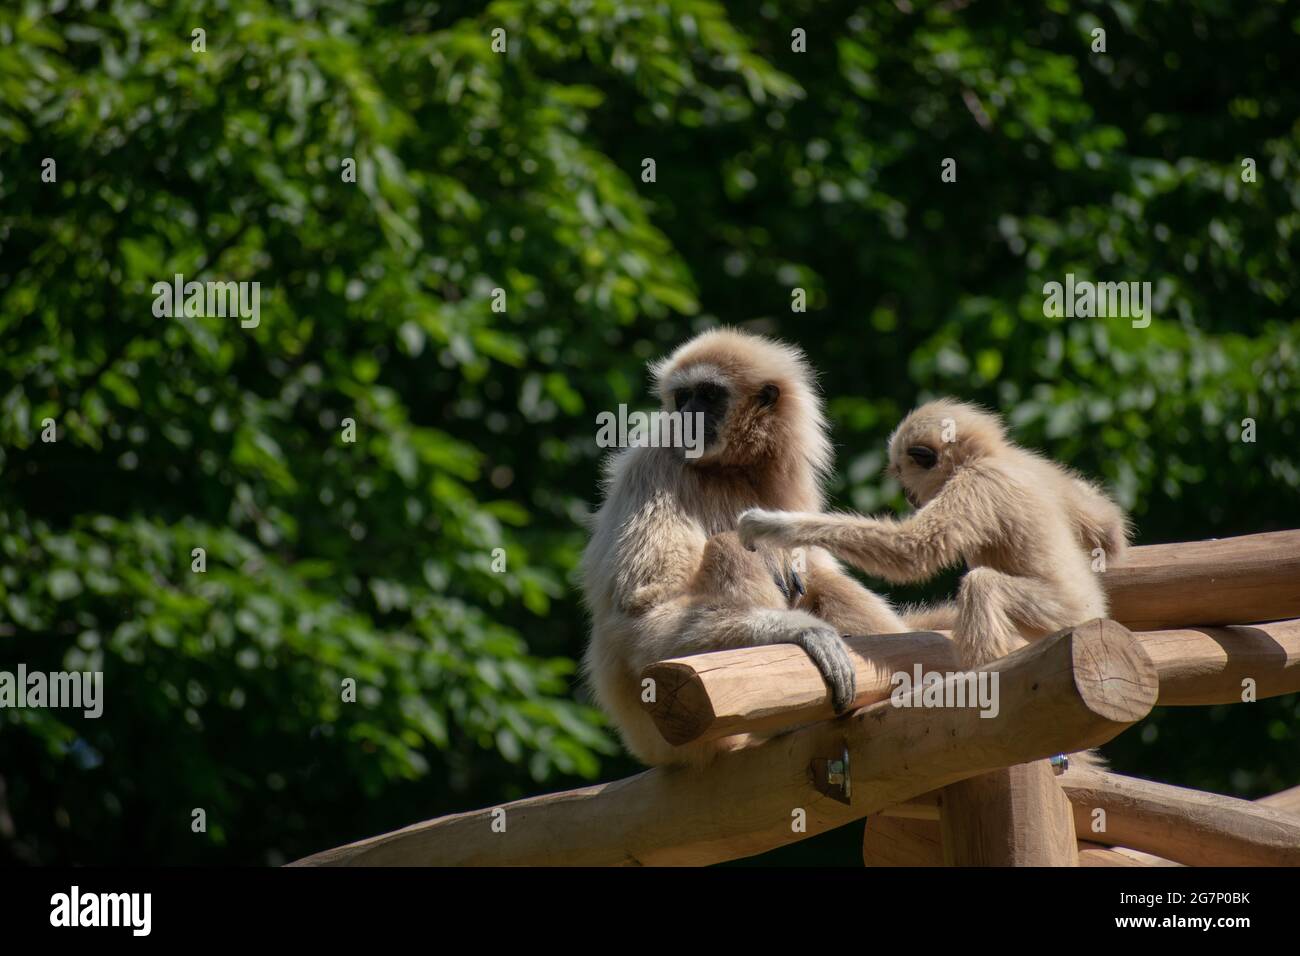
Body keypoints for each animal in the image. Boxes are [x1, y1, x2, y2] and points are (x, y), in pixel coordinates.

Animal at [579, 328, 908, 767]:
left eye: (708, 395)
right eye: (683, 396)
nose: (687, 415)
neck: (730, 469)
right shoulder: (652, 466)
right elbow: (643, 608)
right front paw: (799, 629)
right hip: (660, 735)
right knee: (732, 547)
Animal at [736, 398, 1130, 669]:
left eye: (902, 474)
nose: (909, 495)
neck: (986, 458)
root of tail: (1095, 613)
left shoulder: (975, 483)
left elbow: (913, 550)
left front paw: (776, 525)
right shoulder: (1031, 461)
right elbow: (1106, 526)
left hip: (1060, 612)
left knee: (982, 585)